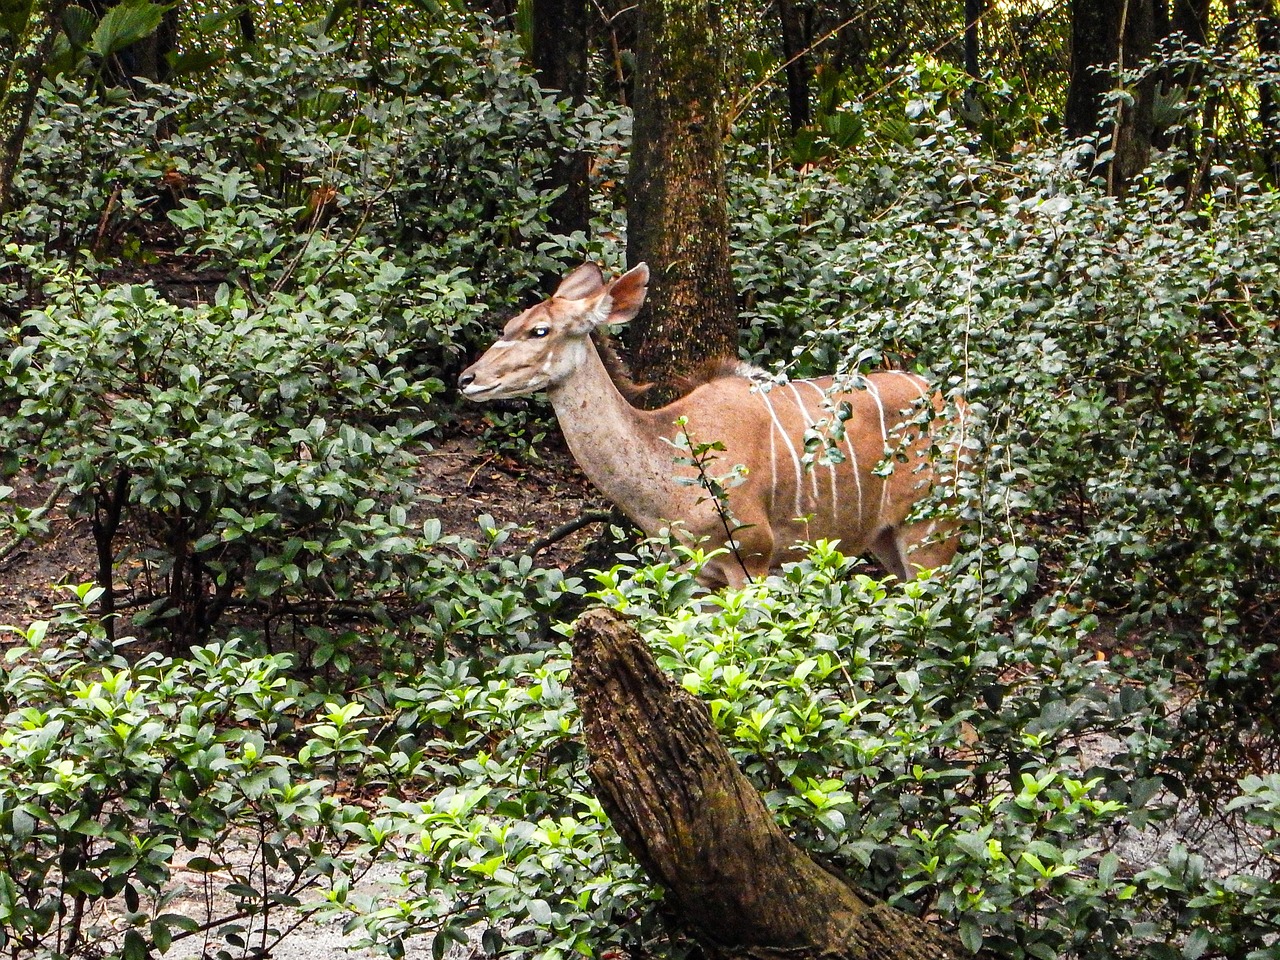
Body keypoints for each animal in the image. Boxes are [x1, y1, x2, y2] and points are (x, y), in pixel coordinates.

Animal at [458, 263, 964, 589]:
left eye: (539, 330)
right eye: (509, 324)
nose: (468, 378)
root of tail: (953, 400)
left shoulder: (753, 557)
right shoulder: (694, 571)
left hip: (931, 529)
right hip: (886, 538)